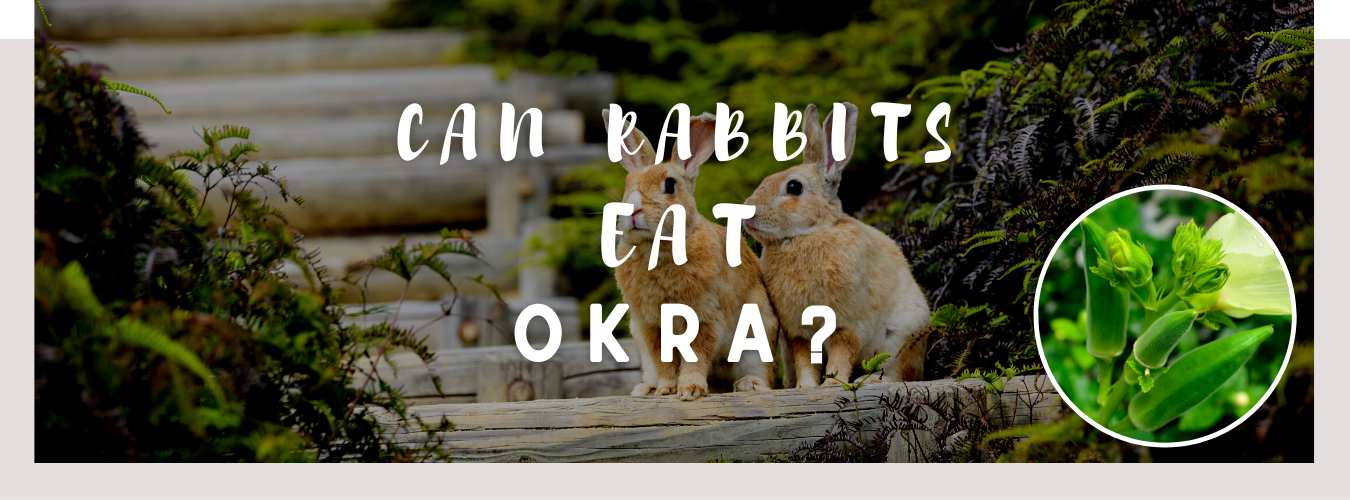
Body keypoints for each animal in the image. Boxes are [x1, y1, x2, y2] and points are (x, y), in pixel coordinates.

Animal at [605, 109, 780, 401]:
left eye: (670, 185)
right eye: (628, 185)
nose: (632, 210)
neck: (659, 246)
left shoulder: (705, 318)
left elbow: (696, 356)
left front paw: (689, 391)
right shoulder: (650, 327)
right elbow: (664, 363)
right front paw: (665, 390)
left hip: (757, 337)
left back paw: (749, 385)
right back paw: (645, 388)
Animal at [742, 102, 930, 387]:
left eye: (794, 187)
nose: (747, 210)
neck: (805, 235)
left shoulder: (846, 325)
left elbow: (841, 355)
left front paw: (832, 384)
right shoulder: (797, 333)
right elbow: (806, 361)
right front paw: (805, 387)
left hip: (902, 335)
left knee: (899, 372)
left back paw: (874, 381)